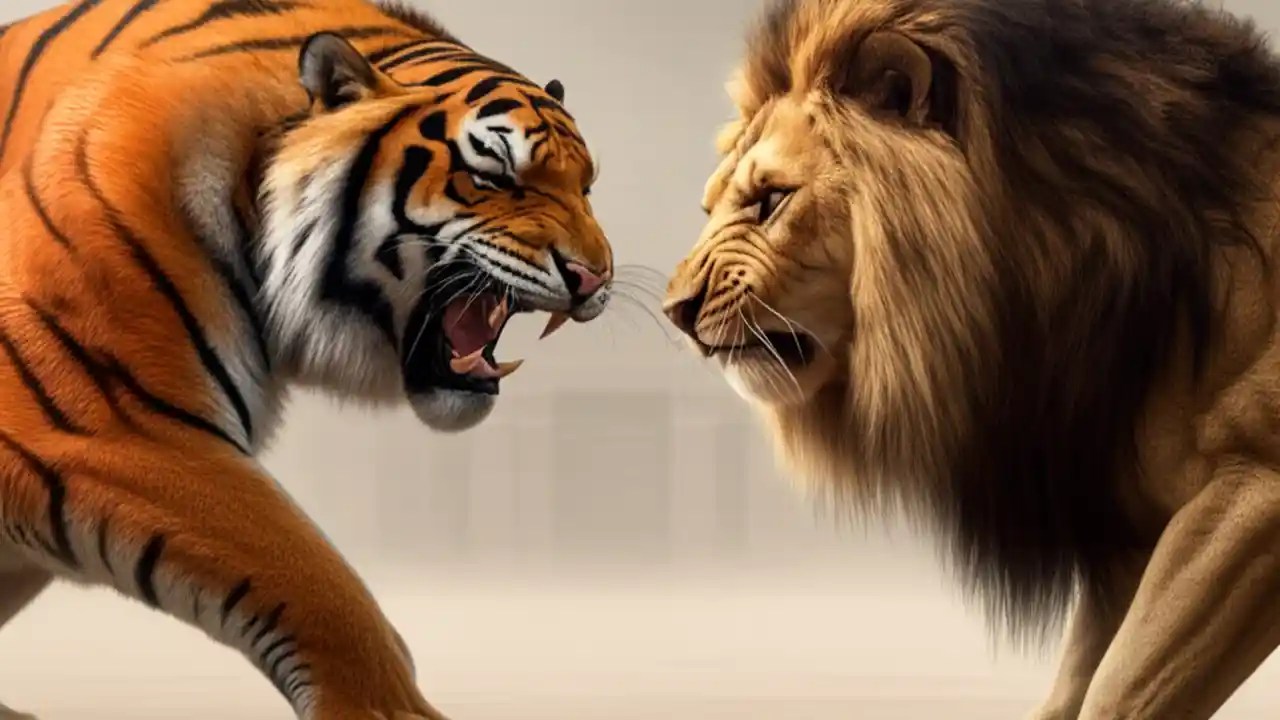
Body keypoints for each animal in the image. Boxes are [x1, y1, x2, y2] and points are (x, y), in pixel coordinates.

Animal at [0, 1, 613, 718]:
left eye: (587, 187)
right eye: (493, 177)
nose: (595, 277)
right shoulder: (102, 421)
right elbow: (317, 584)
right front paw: (387, 709)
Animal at [662, 0, 1280, 718]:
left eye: (771, 199)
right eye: (711, 205)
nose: (675, 310)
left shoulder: (1255, 486)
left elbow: (1120, 690)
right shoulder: (1127, 527)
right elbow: (1083, 685)